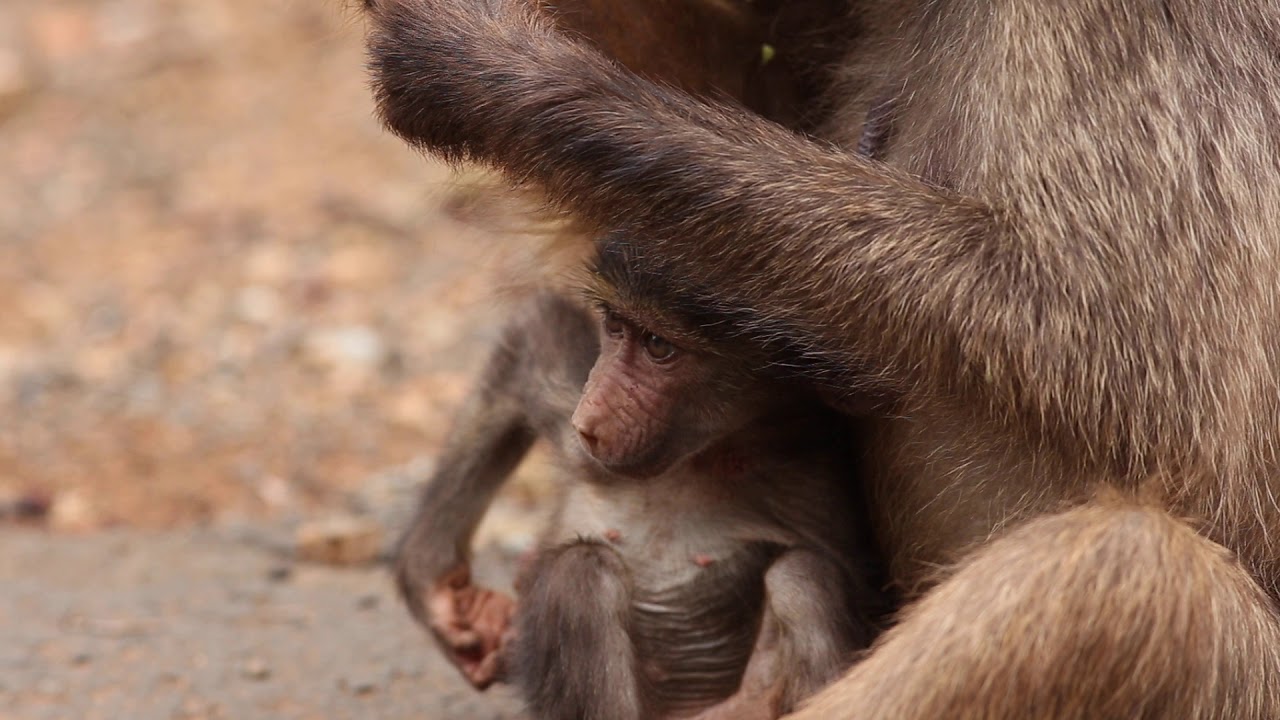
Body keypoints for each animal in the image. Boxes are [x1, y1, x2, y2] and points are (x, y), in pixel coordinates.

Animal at [394, 276, 887, 720]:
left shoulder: (812, 479)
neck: (689, 463)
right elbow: (534, 335)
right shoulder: (577, 434)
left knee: (802, 579)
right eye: (615, 327)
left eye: (658, 346)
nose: (595, 408)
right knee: (584, 575)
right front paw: (439, 591)